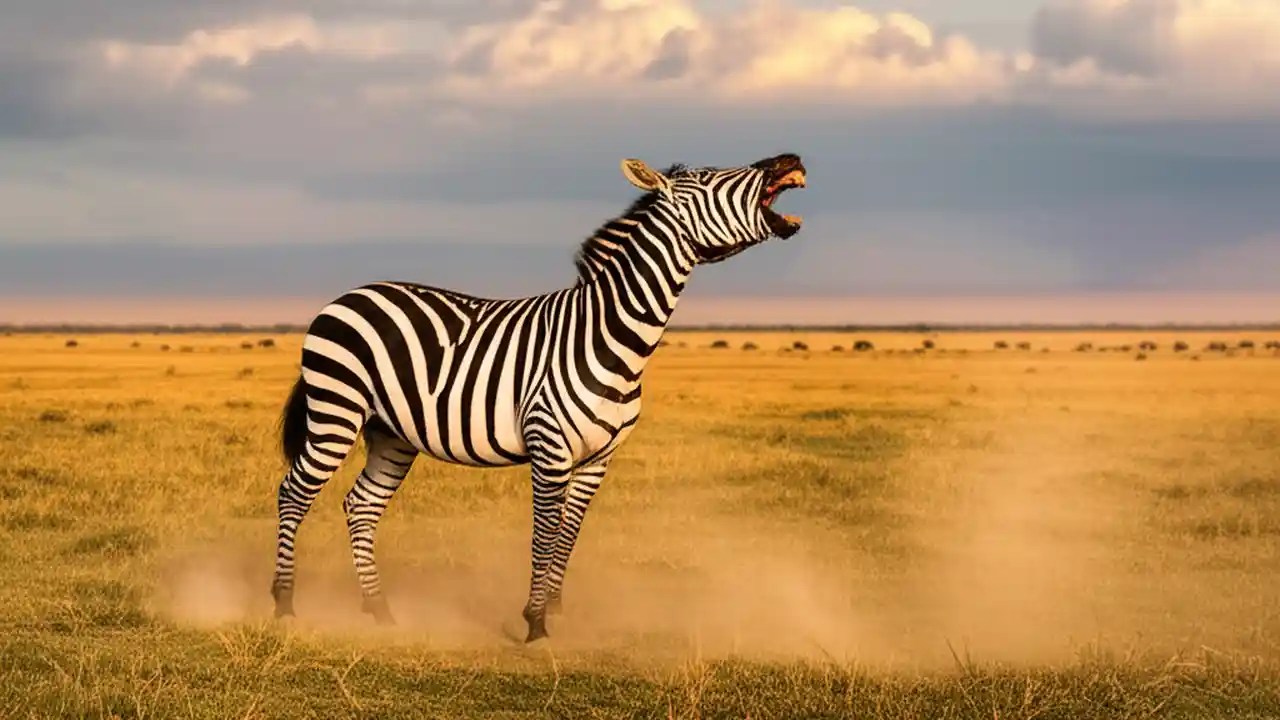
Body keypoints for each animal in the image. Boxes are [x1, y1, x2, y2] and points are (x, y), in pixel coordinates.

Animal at [271, 153, 807, 641]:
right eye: (709, 176)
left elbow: (569, 534)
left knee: (361, 505)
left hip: (391, 432)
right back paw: (284, 603)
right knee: (293, 493)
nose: (791, 158)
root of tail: (349, 296)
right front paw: (534, 623)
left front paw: (555, 610)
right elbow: (545, 532)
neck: (611, 339)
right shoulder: (549, 445)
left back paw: (380, 610)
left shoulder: (597, 458)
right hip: (336, 411)